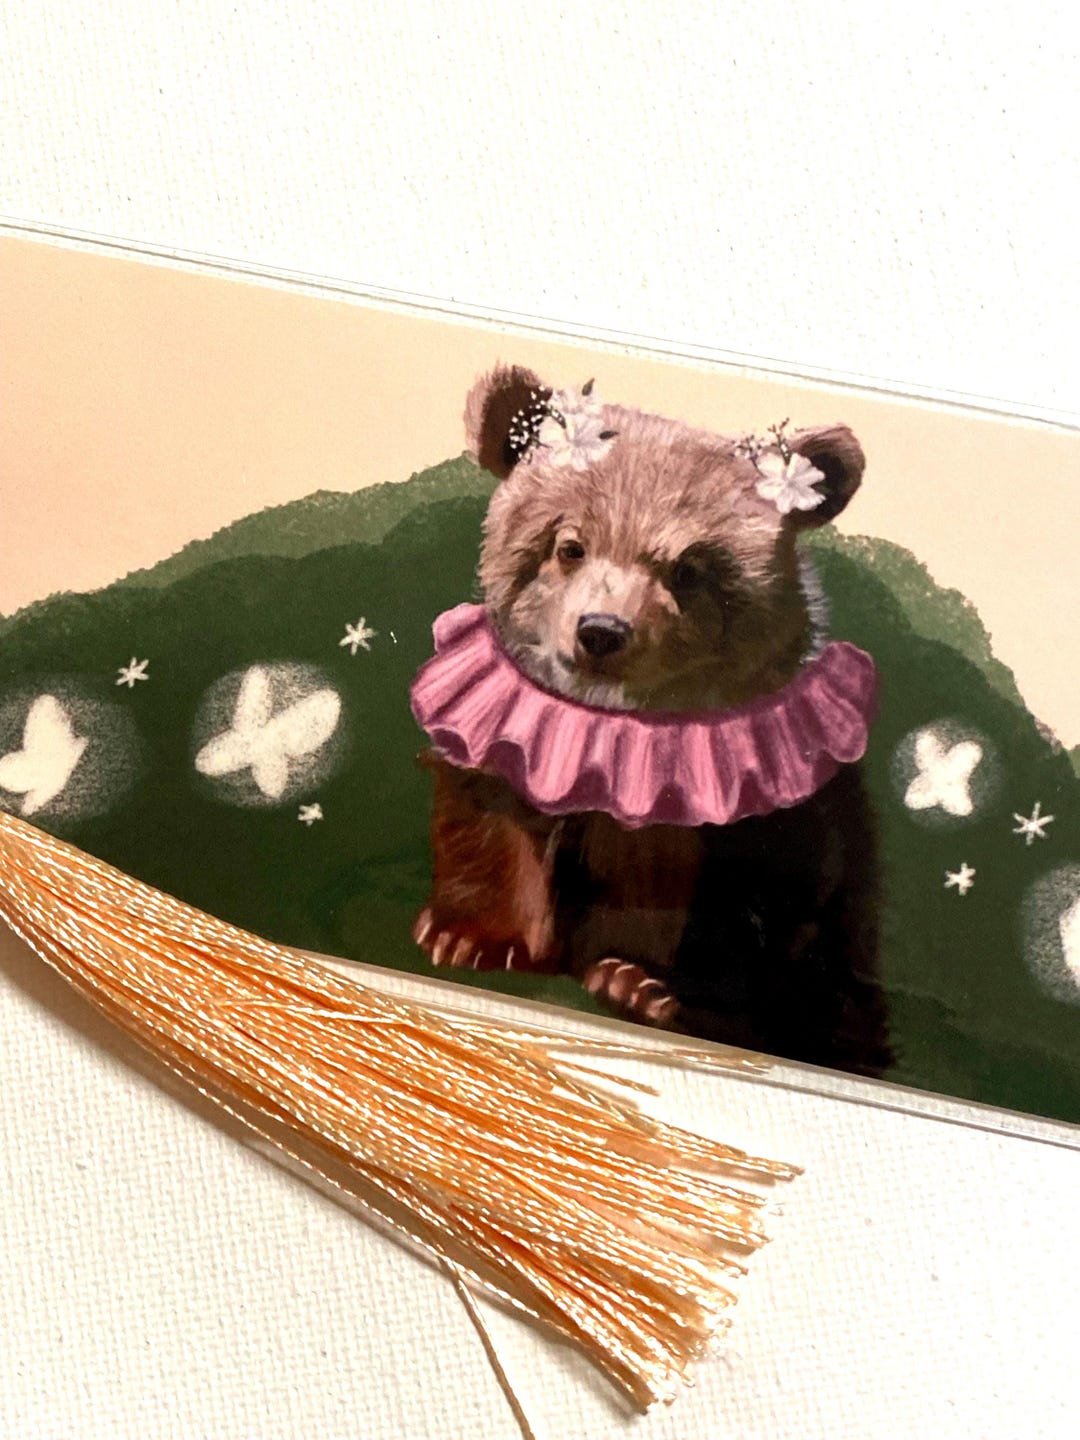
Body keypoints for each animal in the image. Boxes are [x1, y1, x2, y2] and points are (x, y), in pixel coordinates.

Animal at [410, 365, 892, 1078]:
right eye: (569, 546)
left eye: (688, 569)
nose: (601, 631)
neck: (617, 731)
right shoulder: (507, 725)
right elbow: (489, 820)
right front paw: (465, 936)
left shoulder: (764, 807)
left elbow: (734, 910)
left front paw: (637, 980)